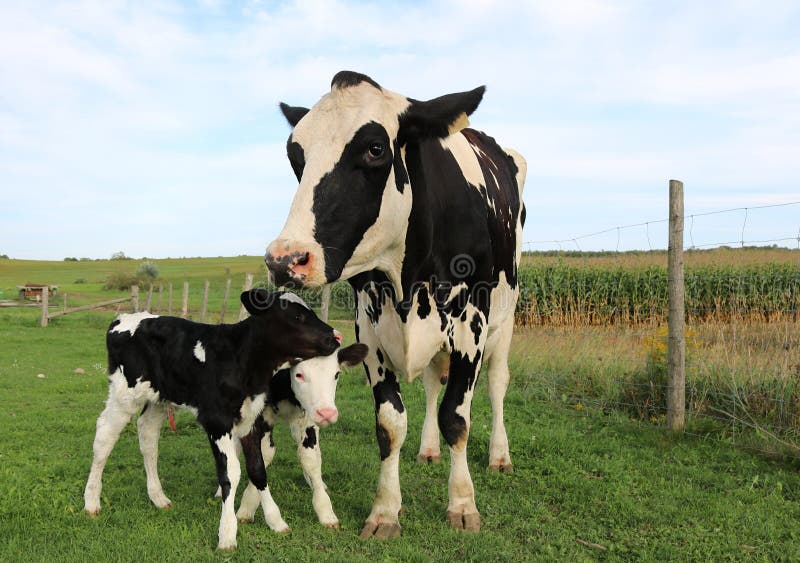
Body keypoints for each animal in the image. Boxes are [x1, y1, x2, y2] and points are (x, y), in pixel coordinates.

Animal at [83, 289, 342, 550]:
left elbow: (257, 469)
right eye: (297, 316)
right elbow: (230, 473)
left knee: (148, 436)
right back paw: (92, 501)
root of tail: (124, 318)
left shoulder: (250, 420)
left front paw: (275, 521)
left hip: (159, 398)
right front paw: (227, 534)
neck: (240, 360)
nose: (336, 336)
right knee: (104, 437)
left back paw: (158, 497)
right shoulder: (217, 422)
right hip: (125, 394)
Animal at [265, 71, 526, 538]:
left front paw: (462, 504)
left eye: (375, 148)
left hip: (506, 316)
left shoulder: (471, 325)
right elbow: (390, 423)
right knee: (431, 384)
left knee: (497, 383)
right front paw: (385, 511)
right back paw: (428, 450)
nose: (285, 259)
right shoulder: (369, 327)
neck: (406, 279)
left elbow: (457, 416)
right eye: (296, 155)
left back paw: (499, 455)